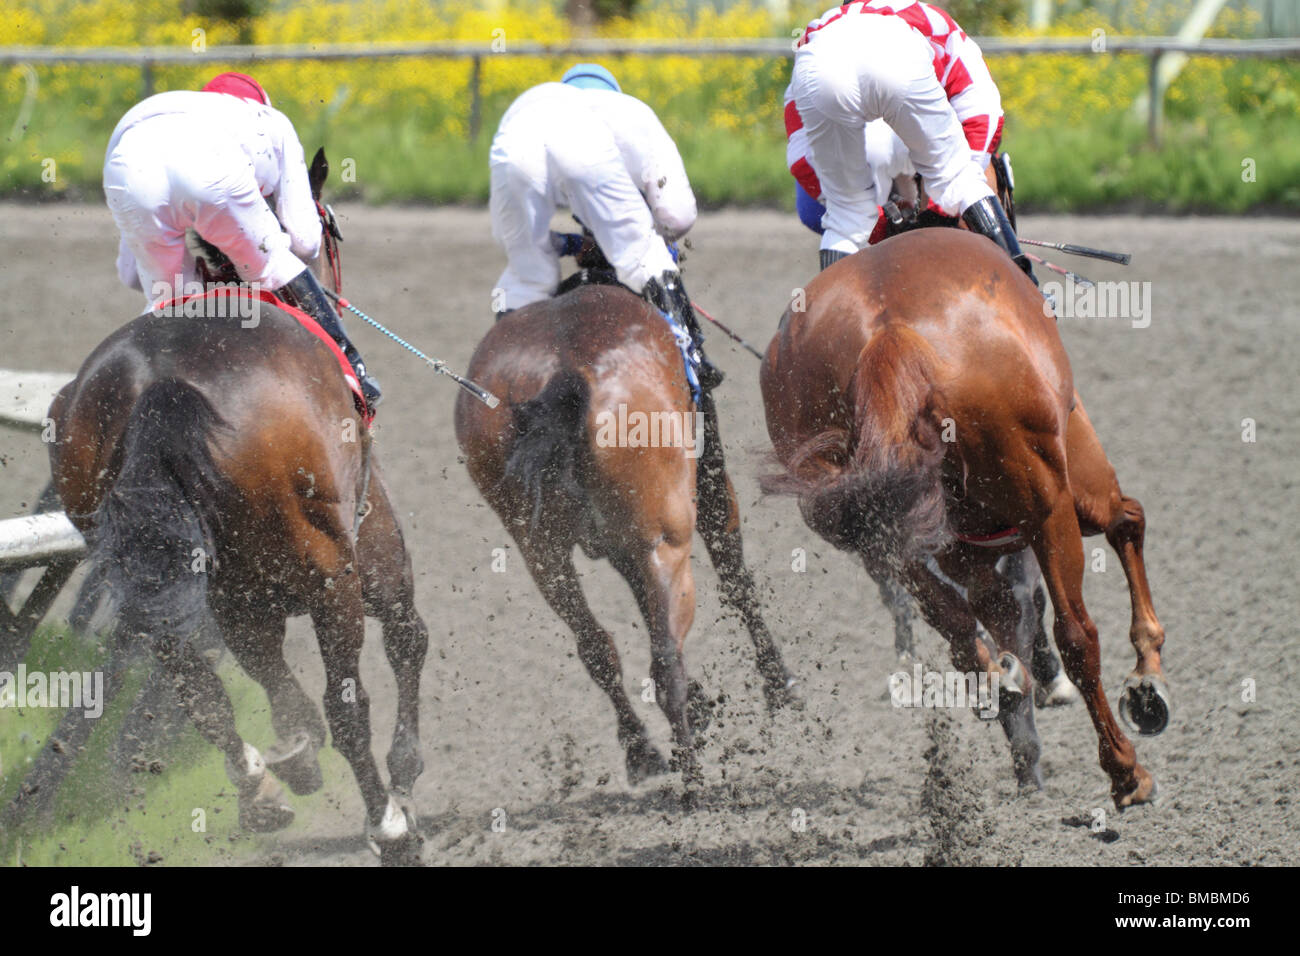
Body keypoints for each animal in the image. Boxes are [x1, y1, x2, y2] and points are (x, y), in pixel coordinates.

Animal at [36, 151, 428, 863]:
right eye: (331, 228)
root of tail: (156, 382)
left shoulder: (238, 593)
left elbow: (263, 669)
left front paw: (295, 752)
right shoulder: (370, 540)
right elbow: (406, 638)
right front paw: (401, 775)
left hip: (143, 563)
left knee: (195, 684)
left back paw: (259, 789)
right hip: (331, 572)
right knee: (349, 704)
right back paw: (387, 824)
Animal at [454, 277, 799, 793]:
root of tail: (564, 374)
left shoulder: (615, 549)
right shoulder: (710, 489)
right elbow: (737, 583)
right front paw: (779, 686)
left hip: (544, 557)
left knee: (597, 646)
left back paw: (643, 752)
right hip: (666, 543)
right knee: (666, 660)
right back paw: (693, 780)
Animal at [760, 228, 1168, 807]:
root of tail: (888, 335)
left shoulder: (964, 551)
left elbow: (996, 614)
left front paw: (1023, 738)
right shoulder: (1078, 487)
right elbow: (1128, 523)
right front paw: (1147, 680)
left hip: (880, 531)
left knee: (958, 625)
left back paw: (1003, 694)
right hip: (1053, 504)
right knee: (1078, 631)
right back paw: (1126, 770)